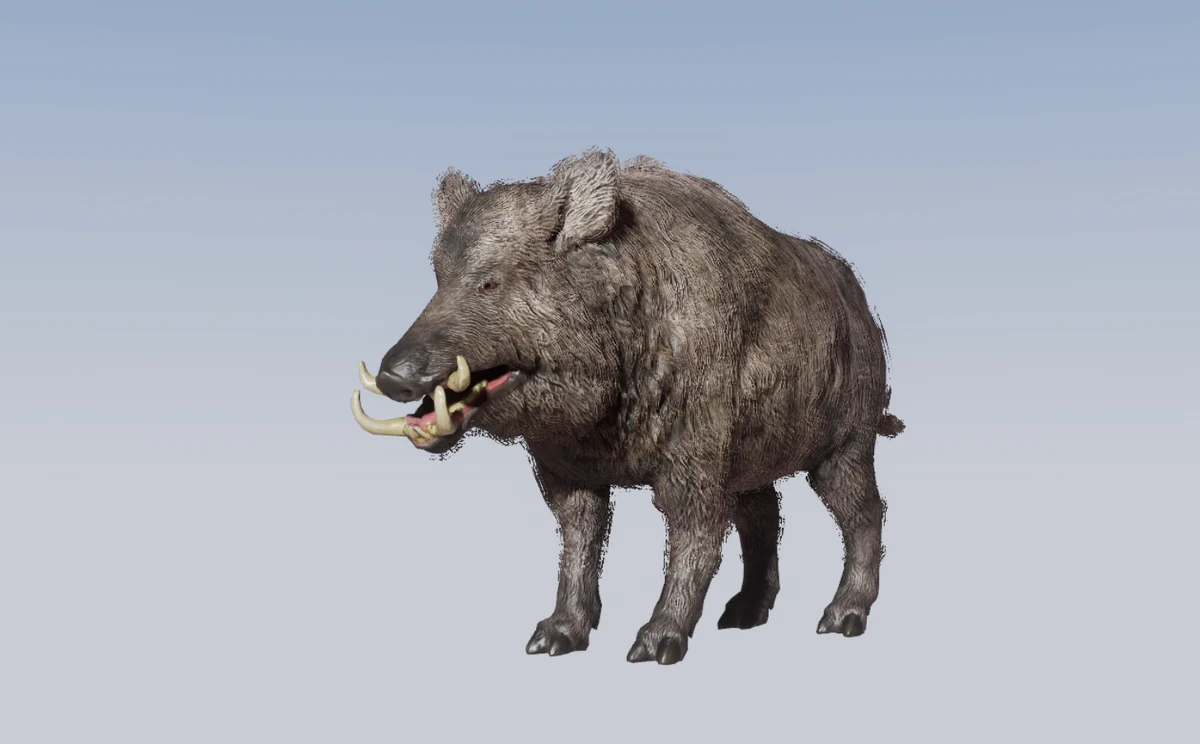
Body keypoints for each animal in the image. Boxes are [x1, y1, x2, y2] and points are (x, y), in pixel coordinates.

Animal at [351, 149, 905, 665]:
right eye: (438, 277)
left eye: (490, 282)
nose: (393, 377)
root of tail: (859, 302)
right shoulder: (565, 468)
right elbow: (580, 539)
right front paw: (551, 639)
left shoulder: (694, 458)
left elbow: (694, 538)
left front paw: (654, 646)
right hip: (753, 460)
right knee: (765, 513)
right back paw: (743, 615)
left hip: (846, 443)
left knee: (863, 511)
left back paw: (841, 619)